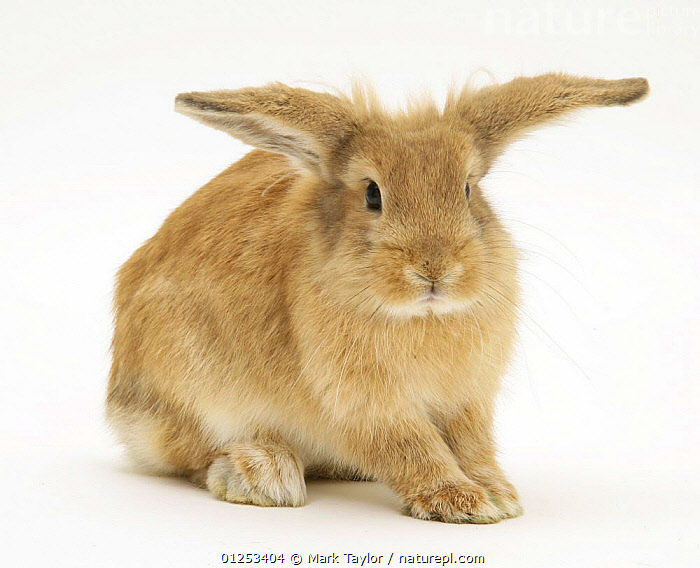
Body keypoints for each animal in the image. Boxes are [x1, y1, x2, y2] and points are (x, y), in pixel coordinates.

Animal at [106, 73, 649, 523]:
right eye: (372, 193)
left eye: (468, 189)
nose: (434, 270)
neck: (421, 316)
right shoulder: (365, 401)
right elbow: (409, 445)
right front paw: (459, 501)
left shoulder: (467, 400)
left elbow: (473, 446)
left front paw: (498, 495)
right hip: (191, 384)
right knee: (192, 454)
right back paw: (261, 473)